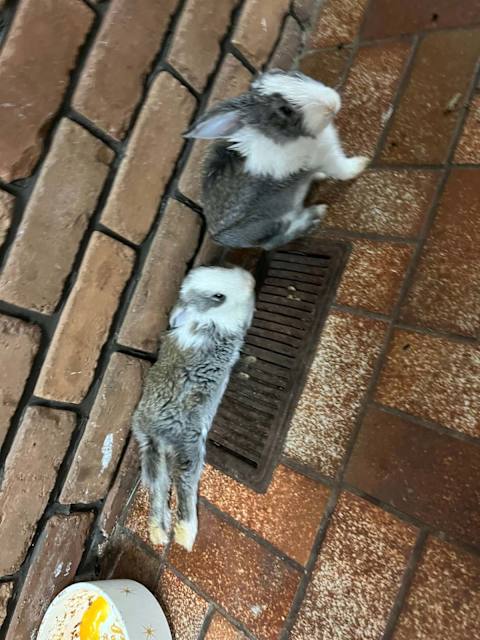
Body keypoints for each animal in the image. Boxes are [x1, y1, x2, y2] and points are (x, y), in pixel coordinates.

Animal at [132, 266, 255, 551]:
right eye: (218, 296)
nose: (250, 280)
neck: (207, 319)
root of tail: (153, 429)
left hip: (151, 450)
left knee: (157, 487)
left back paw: (159, 533)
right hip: (191, 444)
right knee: (183, 484)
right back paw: (185, 535)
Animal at [184, 69, 369, 250]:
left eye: (290, 74)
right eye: (285, 110)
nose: (332, 104)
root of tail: (218, 239)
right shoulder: (327, 158)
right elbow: (343, 170)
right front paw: (361, 163)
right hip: (271, 223)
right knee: (273, 242)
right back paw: (315, 215)